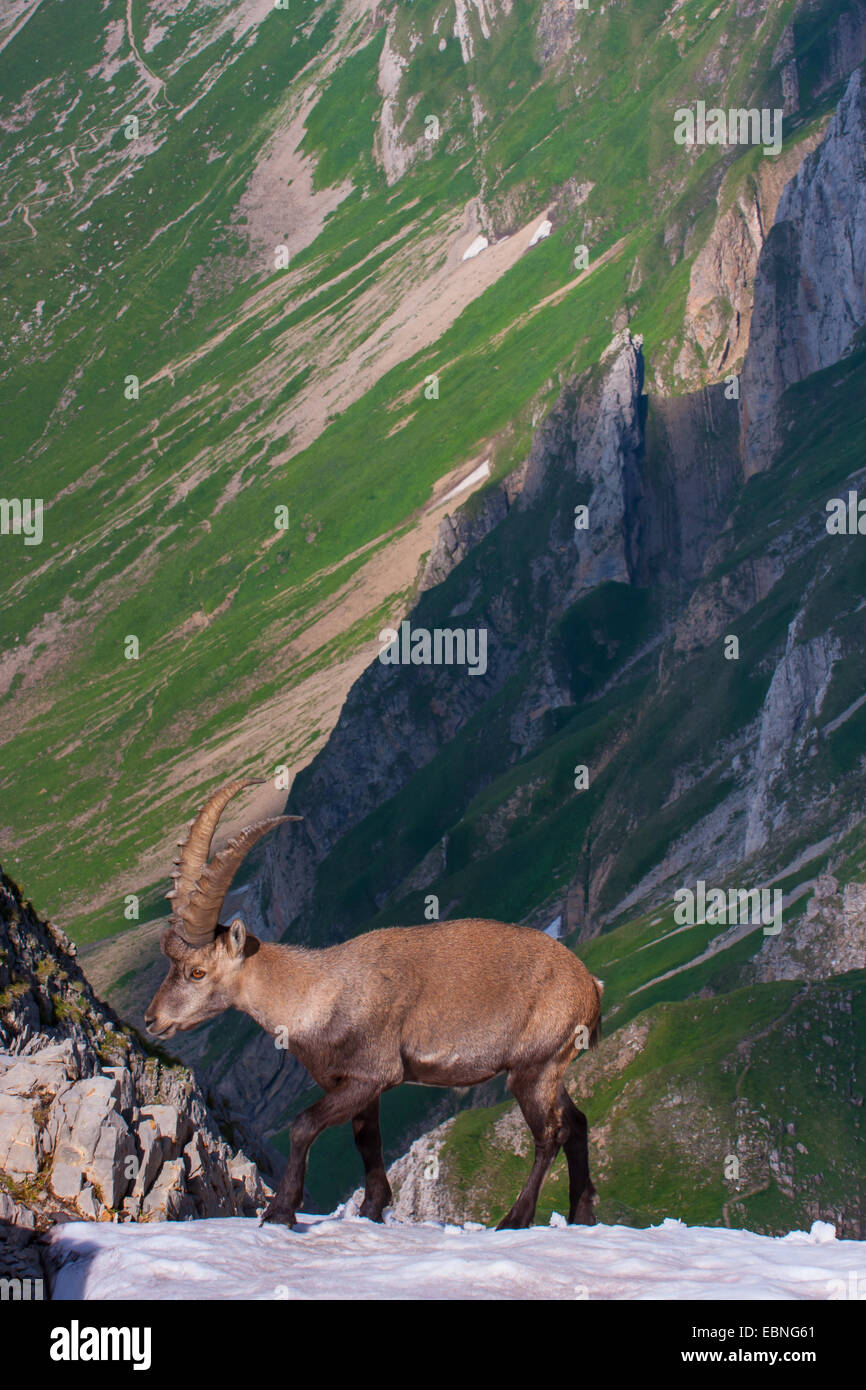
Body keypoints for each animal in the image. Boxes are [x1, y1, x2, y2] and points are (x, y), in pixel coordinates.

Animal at [145, 780, 603, 1230]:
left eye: (197, 972)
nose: (152, 1020)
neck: (318, 992)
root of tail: (590, 985)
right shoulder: (358, 1084)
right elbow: (367, 1141)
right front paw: (371, 1209)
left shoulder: (372, 1072)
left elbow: (303, 1125)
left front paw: (281, 1211)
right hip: (551, 1066)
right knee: (577, 1123)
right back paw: (582, 1215)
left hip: (533, 1068)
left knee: (550, 1134)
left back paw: (515, 1219)